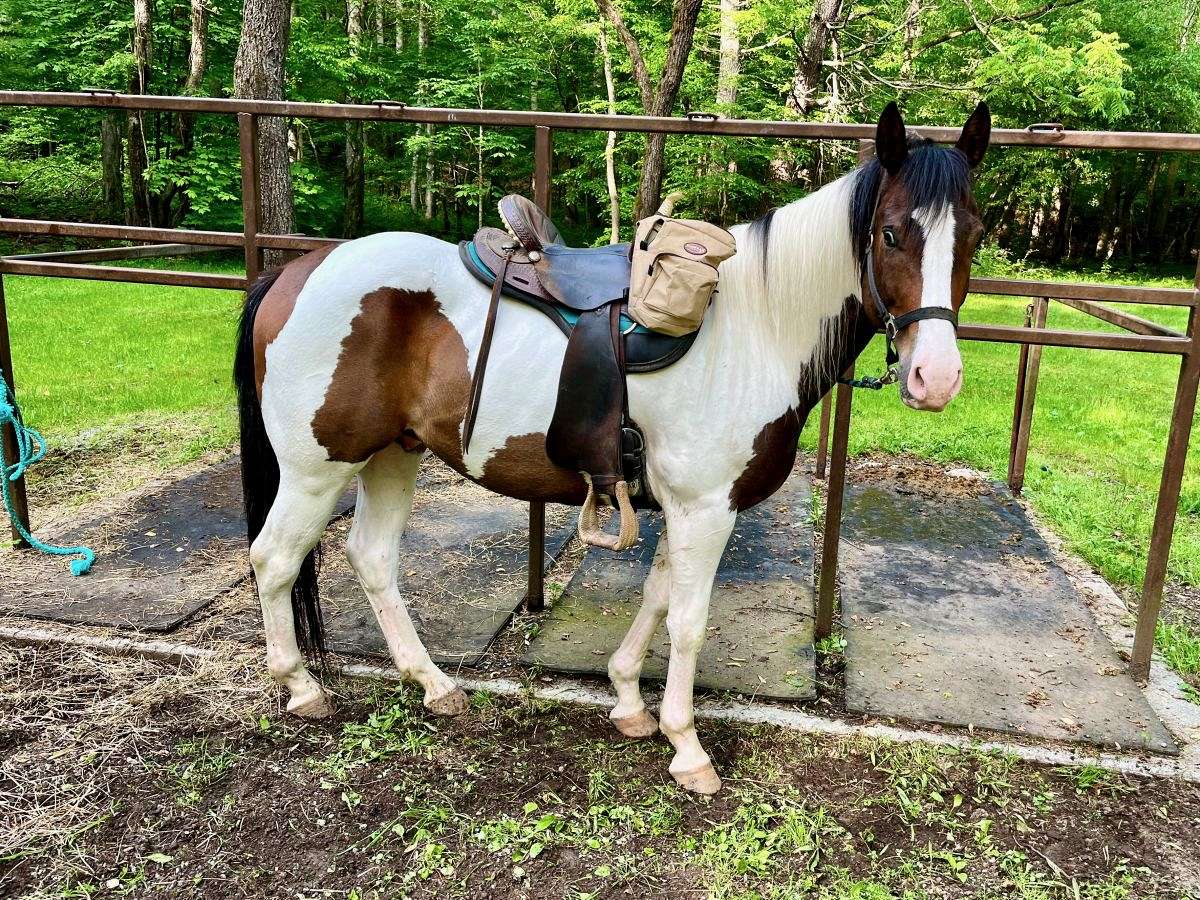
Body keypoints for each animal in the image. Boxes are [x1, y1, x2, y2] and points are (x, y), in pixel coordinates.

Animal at [233, 101, 991, 794]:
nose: (936, 378)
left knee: (371, 558)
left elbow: (655, 597)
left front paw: (628, 700)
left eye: (974, 235)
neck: (755, 331)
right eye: (891, 233)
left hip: (394, 454)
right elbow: (687, 620)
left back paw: (435, 685)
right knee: (274, 560)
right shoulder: (705, 509)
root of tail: (296, 272)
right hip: (316, 470)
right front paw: (688, 748)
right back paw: (302, 688)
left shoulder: (689, 509)